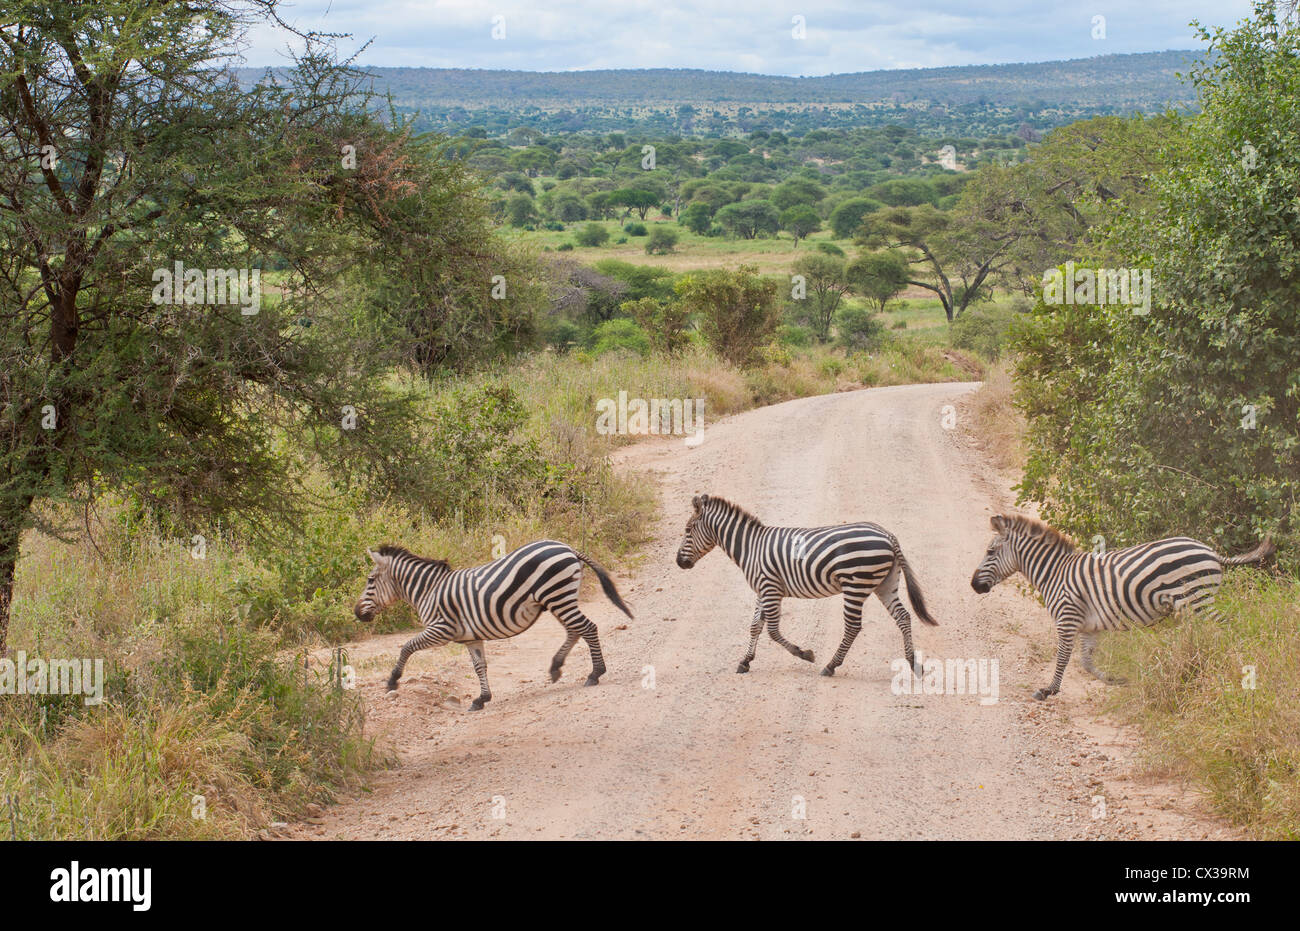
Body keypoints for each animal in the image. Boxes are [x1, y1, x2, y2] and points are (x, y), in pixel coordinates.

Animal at [354, 540, 633, 710]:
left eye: (370, 581)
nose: (356, 613)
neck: (428, 591)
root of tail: (567, 547)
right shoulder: (470, 637)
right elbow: (480, 666)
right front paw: (482, 698)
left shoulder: (441, 629)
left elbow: (407, 646)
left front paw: (392, 681)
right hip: (559, 598)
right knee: (575, 630)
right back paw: (556, 668)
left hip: (557, 595)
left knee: (588, 628)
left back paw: (595, 673)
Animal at [674, 494, 938, 677]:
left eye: (687, 530)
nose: (678, 562)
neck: (751, 547)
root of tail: (888, 535)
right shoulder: (762, 590)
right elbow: (755, 626)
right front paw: (745, 661)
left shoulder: (770, 588)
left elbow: (772, 631)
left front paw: (805, 654)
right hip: (885, 583)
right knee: (903, 616)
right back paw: (913, 663)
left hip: (855, 584)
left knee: (853, 626)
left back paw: (831, 666)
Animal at [970, 514, 1275, 700]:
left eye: (990, 552)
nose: (973, 585)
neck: (1054, 573)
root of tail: (1211, 551)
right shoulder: (1088, 626)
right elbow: (1086, 662)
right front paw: (1118, 681)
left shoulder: (1067, 618)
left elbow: (1063, 658)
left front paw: (1048, 690)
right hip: (1195, 603)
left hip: (1197, 600)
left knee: (1226, 628)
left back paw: (1237, 661)